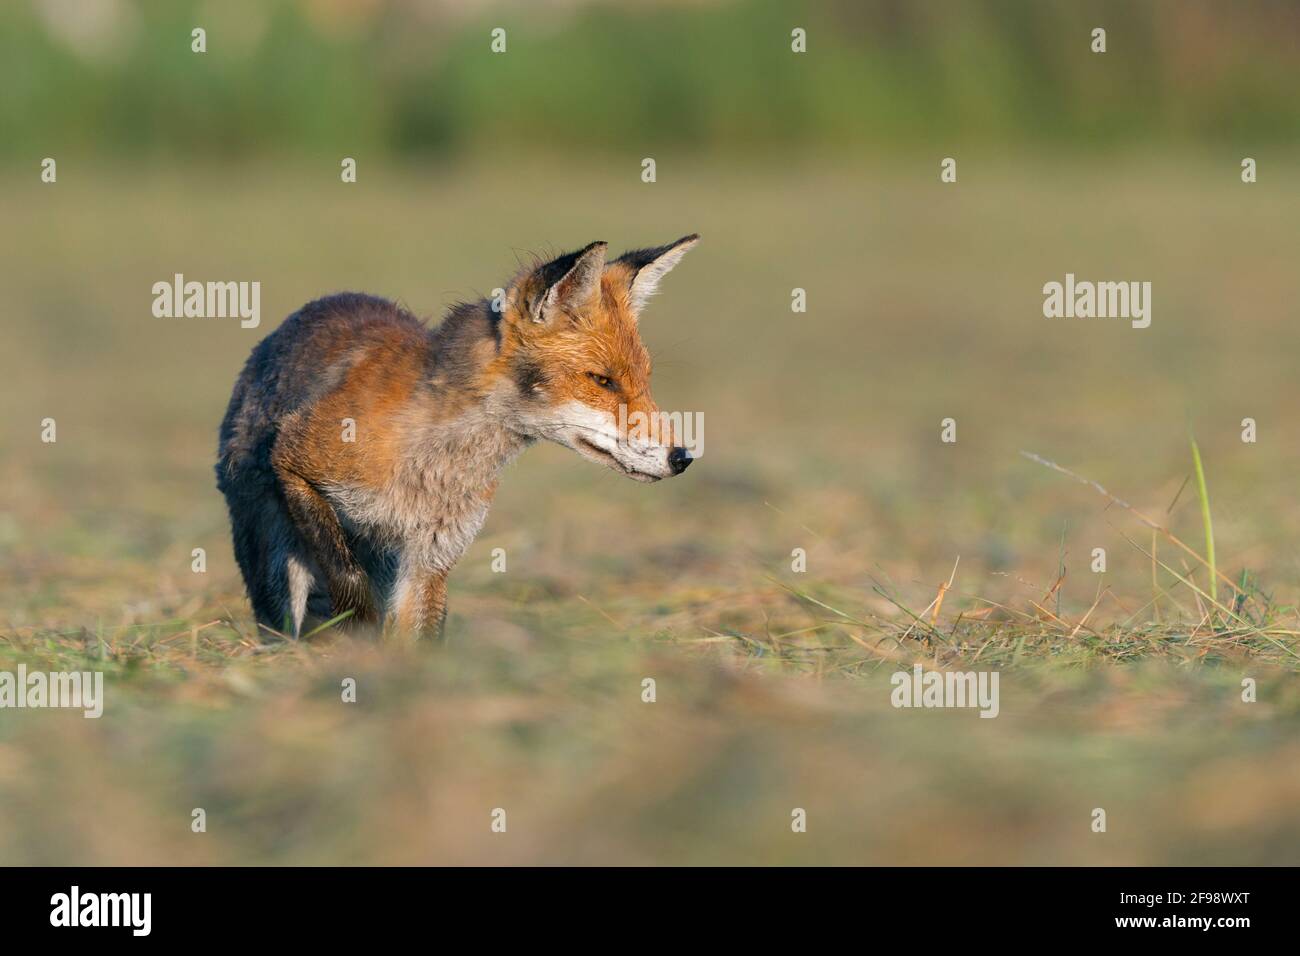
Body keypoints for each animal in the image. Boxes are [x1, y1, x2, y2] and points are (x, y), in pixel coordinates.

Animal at [216, 235, 699, 640]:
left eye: (645, 379)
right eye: (602, 380)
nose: (682, 457)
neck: (431, 460)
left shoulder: (431, 557)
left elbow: (421, 637)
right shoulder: (294, 461)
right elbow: (347, 574)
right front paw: (359, 630)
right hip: (272, 560)